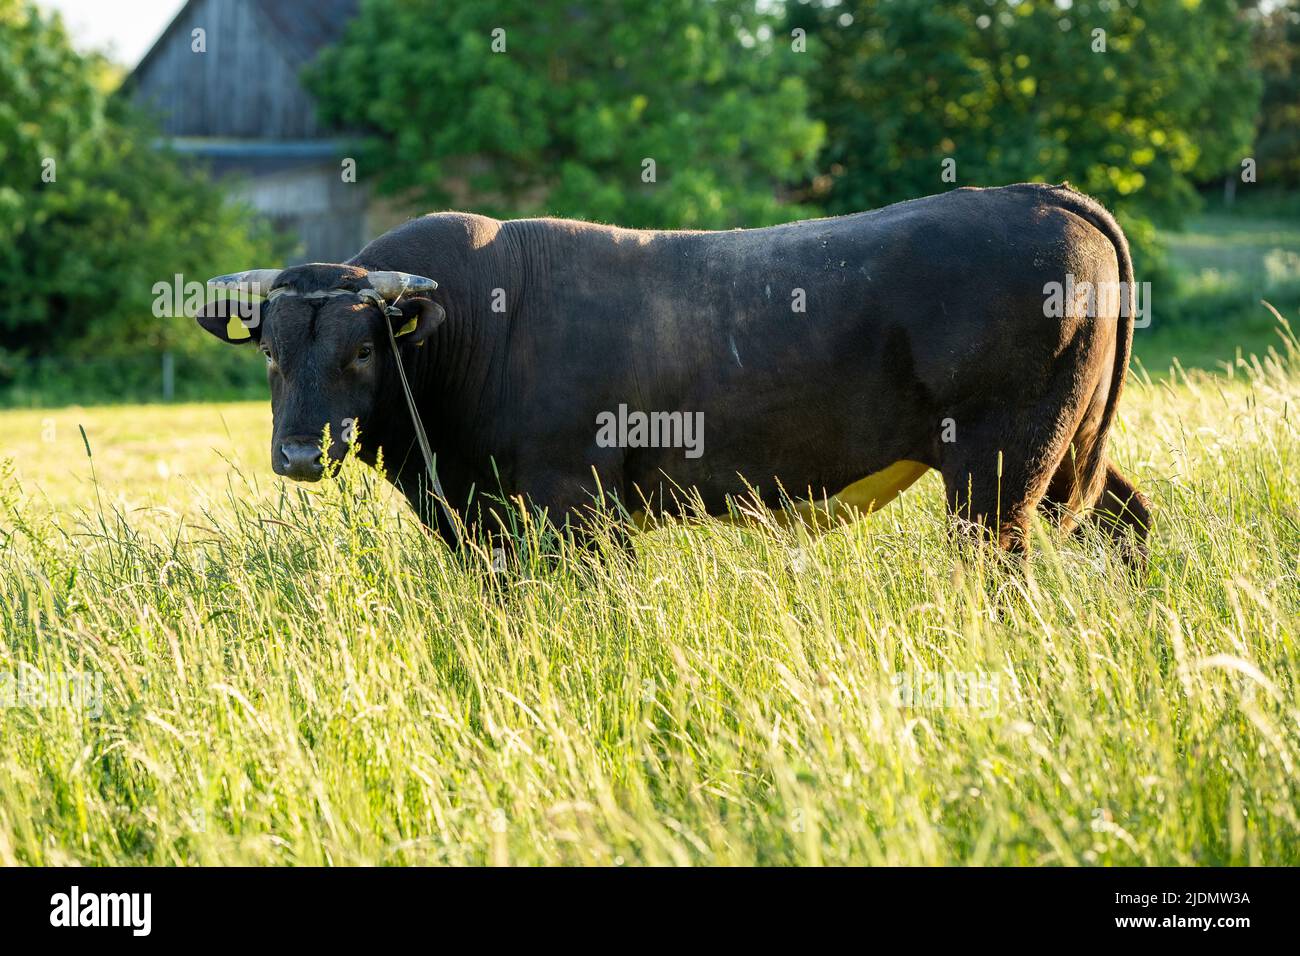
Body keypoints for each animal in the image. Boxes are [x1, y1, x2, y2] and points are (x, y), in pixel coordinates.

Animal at [196, 183, 1151, 564]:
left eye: (363, 351)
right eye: (272, 355)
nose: (298, 455)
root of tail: (1039, 195)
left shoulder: (574, 504)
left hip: (1000, 463)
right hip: (1070, 450)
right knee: (1126, 522)